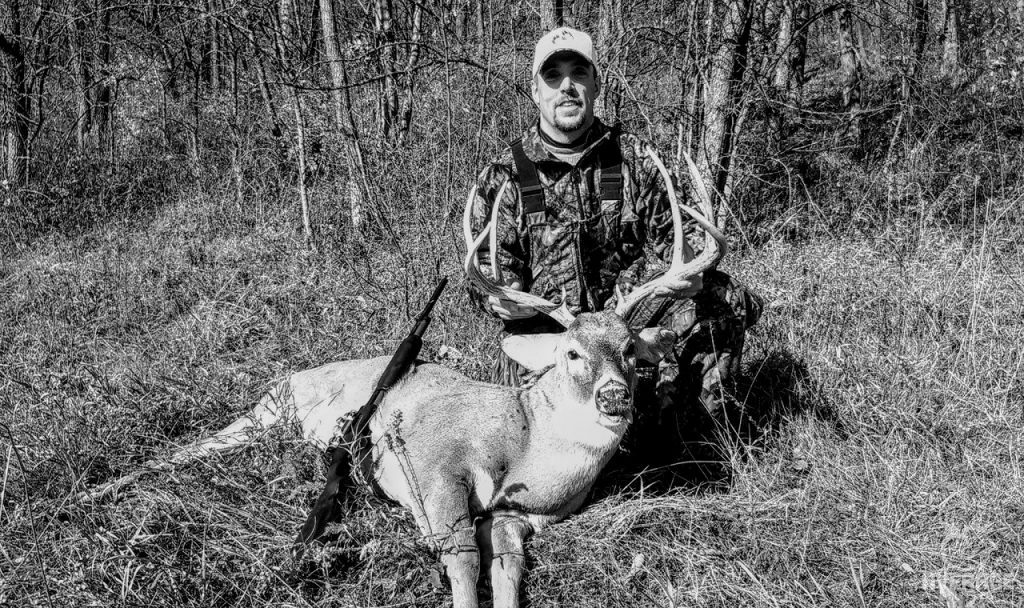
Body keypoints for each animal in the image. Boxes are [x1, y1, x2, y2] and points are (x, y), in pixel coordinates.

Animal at [75, 150, 726, 608]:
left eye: (631, 351)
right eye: (570, 353)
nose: (614, 396)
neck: (528, 444)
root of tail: (289, 376)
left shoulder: (515, 518)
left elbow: (506, 572)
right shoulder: (436, 464)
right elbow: (461, 561)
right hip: (268, 412)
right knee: (187, 450)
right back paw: (88, 493)